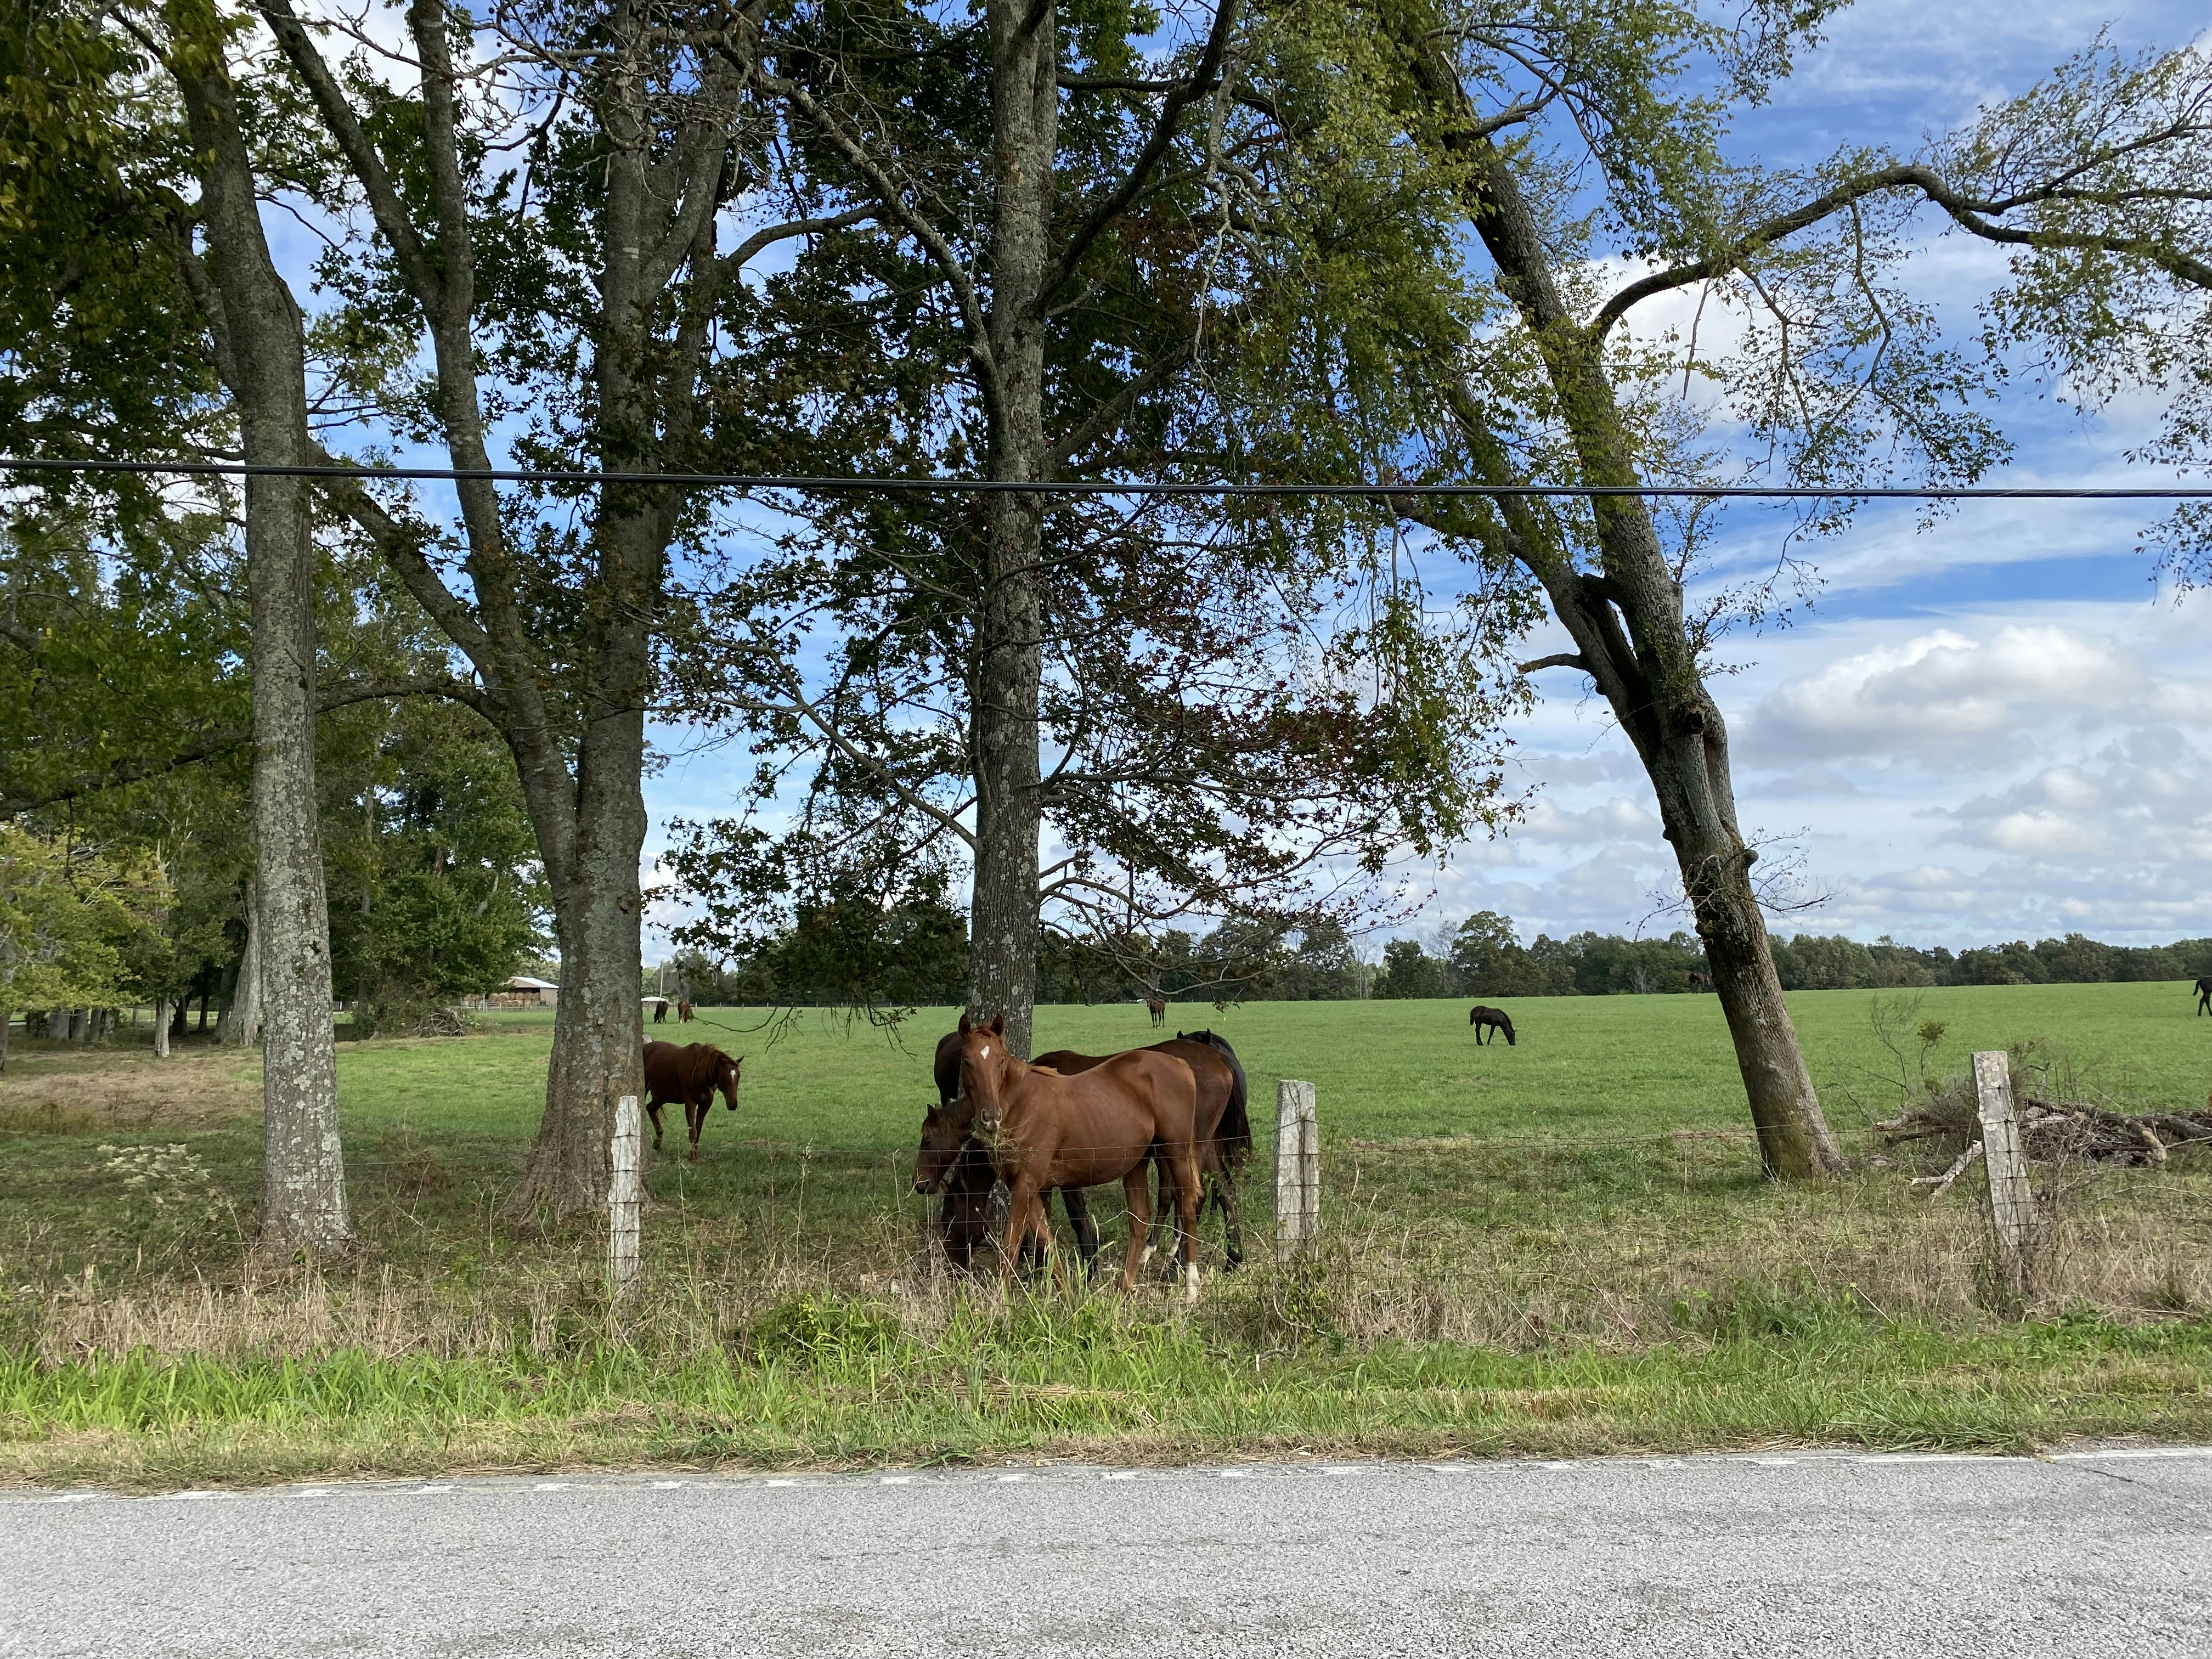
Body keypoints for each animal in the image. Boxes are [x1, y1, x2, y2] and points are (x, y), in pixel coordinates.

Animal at [642, 1039, 742, 1158]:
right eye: (724, 1077)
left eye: (739, 1076)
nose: (733, 1104)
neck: (700, 1070)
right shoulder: (690, 1102)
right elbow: (693, 1131)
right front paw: (692, 1157)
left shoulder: (706, 1103)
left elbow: (698, 1129)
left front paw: (696, 1154)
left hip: (663, 1096)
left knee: (651, 1108)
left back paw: (657, 1143)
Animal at [1034, 1029, 1251, 1270]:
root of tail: (1217, 1057)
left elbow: (1075, 1213)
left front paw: (1089, 1265)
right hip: (1206, 1144)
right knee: (1224, 1189)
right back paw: (1232, 1258)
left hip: (1189, 1148)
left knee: (1195, 1195)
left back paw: (1176, 1265)